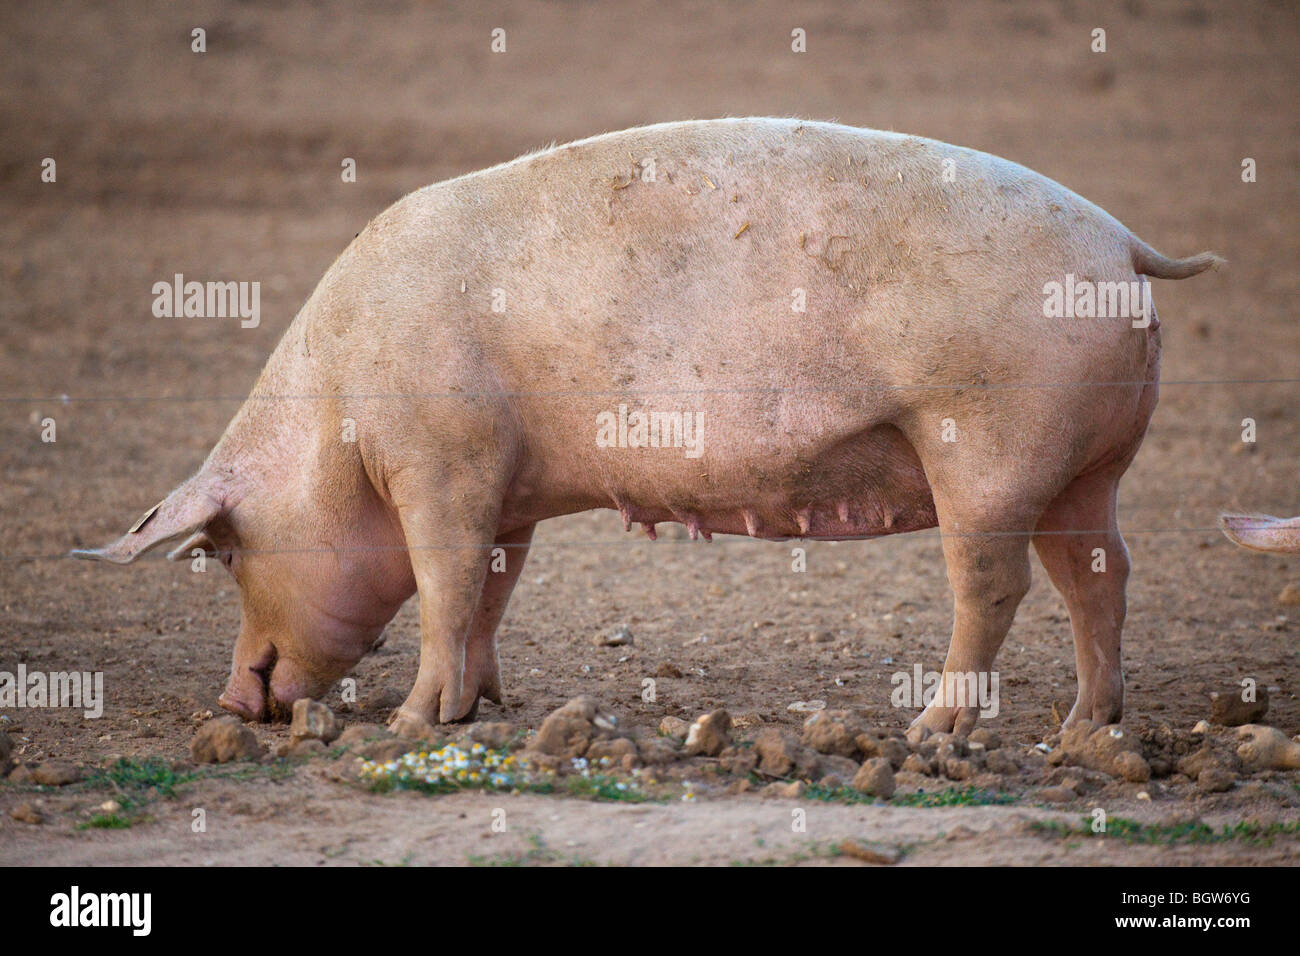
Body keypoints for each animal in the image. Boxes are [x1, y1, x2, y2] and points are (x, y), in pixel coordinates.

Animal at [72, 118, 1220, 737]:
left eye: (225, 553)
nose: (233, 703)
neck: (340, 418)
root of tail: (1124, 246)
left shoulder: (442, 461)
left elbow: (443, 586)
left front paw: (406, 722)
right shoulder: (510, 488)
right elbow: (488, 594)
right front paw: (480, 707)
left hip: (985, 445)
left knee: (997, 585)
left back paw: (934, 727)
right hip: (1086, 465)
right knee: (1101, 574)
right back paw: (1083, 727)